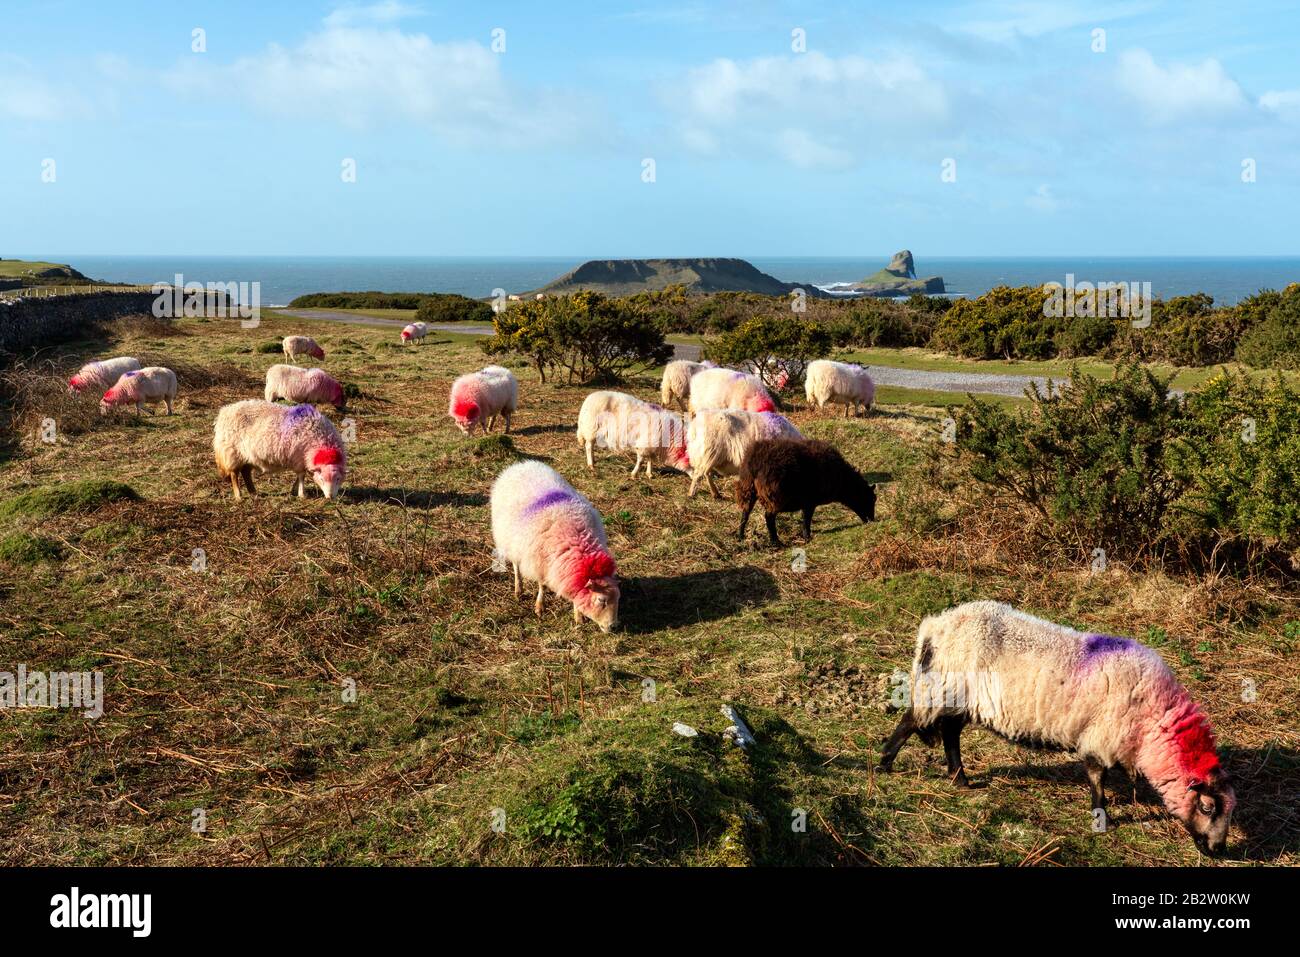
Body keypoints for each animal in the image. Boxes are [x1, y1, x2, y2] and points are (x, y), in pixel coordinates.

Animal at [213, 399, 347, 500]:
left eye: (338, 479)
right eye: (322, 479)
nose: (330, 497)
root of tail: (224, 411)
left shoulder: (301, 460)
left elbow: (299, 477)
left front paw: (294, 490)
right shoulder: (299, 459)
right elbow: (301, 476)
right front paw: (301, 494)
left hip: (247, 456)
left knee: (246, 472)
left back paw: (253, 492)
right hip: (232, 452)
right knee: (234, 475)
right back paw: (239, 496)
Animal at [490, 460, 619, 632]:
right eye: (601, 600)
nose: (613, 627)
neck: (577, 542)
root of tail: (520, 465)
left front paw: (578, 617)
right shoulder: (540, 562)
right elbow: (542, 585)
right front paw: (540, 607)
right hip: (510, 540)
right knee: (516, 565)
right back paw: (519, 589)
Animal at [736, 439, 877, 546]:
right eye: (869, 499)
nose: (872, 521)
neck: (842, 479)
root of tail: (756, 462)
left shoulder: (808, 502)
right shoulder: (810, 501)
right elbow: (806, 519)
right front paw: (807, 537)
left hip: (748, 490)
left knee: (745, 514)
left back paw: (740, 536)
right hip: (774, 495)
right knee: (769, 517)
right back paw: (776, 542)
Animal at [879, 601, 1237, 854]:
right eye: (1207, 807)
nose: (1218, 850)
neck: (1154, 718)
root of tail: (935, 626)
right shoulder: (1100, 736)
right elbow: (1097, 776)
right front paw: (1101, 817)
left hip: (961, 699)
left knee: (950, 735)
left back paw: (960, 780)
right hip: (943, 687)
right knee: (912, 721)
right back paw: (885, 763)